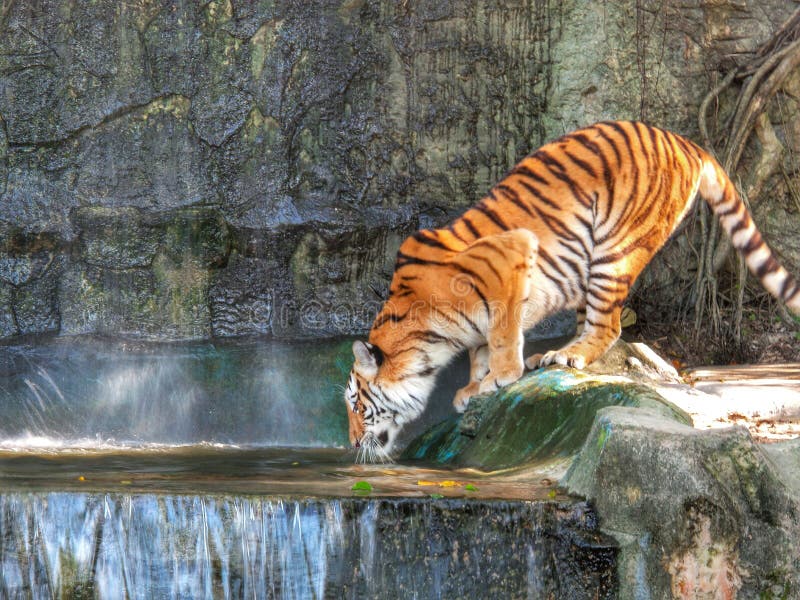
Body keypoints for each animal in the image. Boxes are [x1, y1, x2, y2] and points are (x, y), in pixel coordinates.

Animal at [344, 120, 800, 461]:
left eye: (357, 405)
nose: (350, 443)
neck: (427, 341)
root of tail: (685, 142)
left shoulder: (512, 256)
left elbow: (502, 335)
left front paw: (499, 378)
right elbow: (480, 350)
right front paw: (473, 388)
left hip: (614, 249)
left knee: (609, 325)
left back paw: (567, 355)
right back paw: (553, 354)